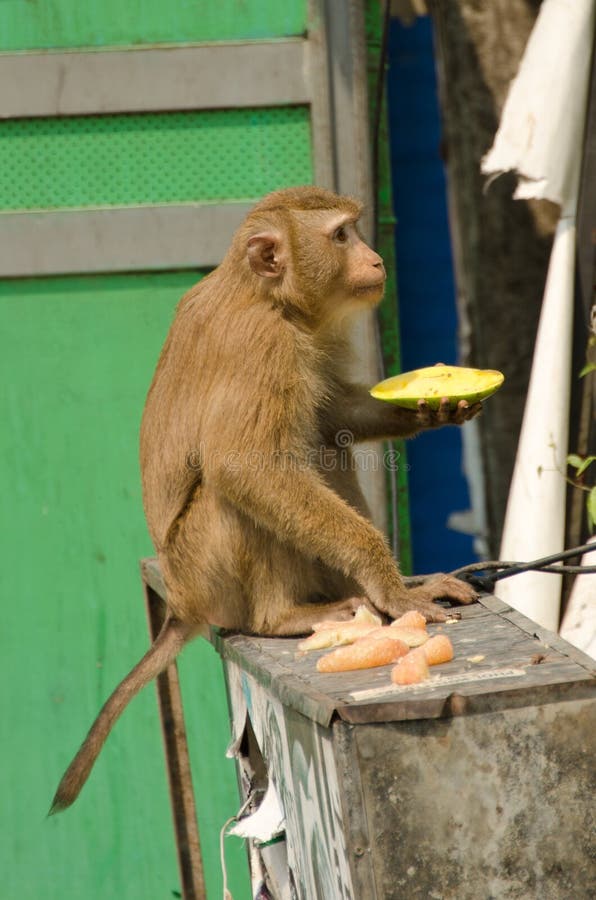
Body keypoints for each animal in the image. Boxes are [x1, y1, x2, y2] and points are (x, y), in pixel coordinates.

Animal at [51, 186, 479, 814]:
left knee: (322, 439)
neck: (270, 298)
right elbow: (247, 469)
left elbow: (336, 414)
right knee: (235, 495)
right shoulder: (265, 346)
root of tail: (184, 604)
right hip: (206, 572)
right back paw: (286, 616)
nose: (376, 260)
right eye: (341, 236)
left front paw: (433, 405)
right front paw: (392, 590)